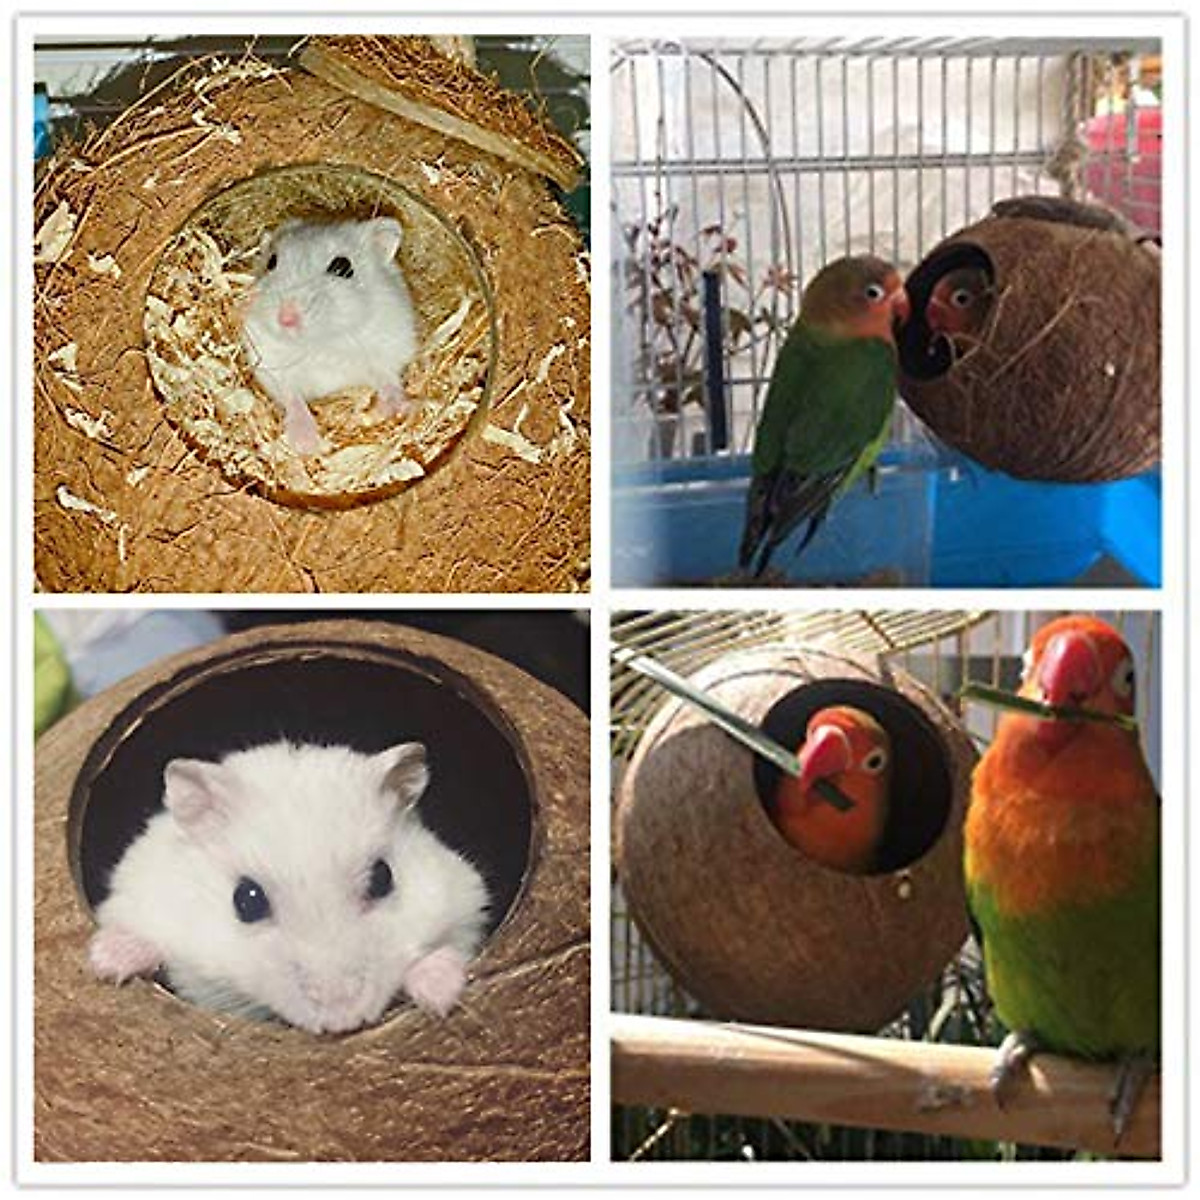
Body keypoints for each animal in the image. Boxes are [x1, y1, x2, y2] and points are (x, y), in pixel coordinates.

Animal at [87, 740, 489, 1034]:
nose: (342, 1021)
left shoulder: (465, 899)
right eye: (246, 900)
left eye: (382, 878)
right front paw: (107, 962)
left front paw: (439, 995)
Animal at [239, 218, 420, 455]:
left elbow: (388, 379)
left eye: (342, 267)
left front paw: (398, 409)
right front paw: (305, 445)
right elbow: (292, 395)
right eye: (271, 262)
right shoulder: (271, 364)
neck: (322, 342)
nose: (285, 318)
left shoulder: (388, 348)